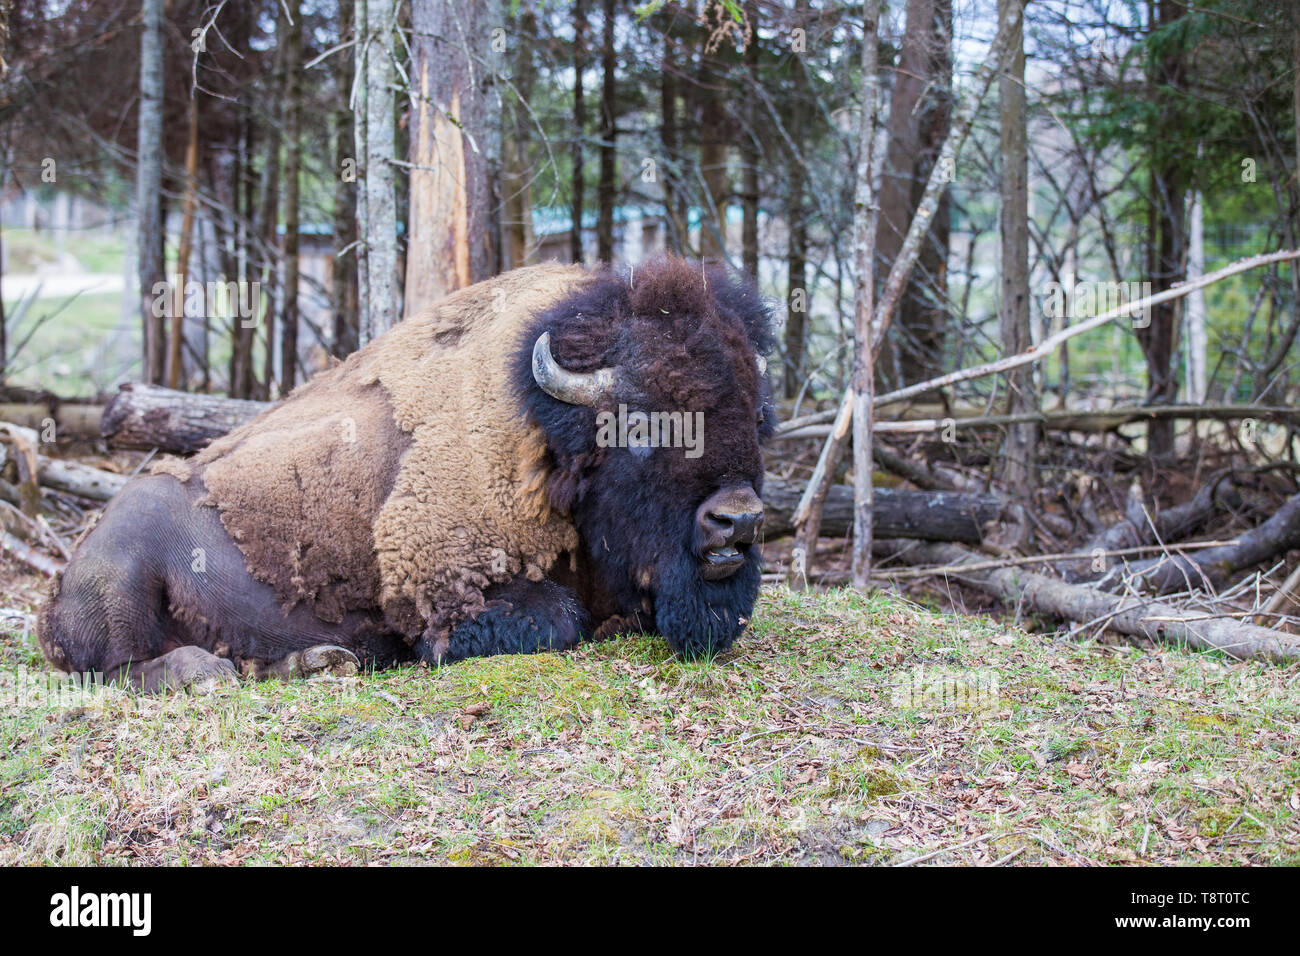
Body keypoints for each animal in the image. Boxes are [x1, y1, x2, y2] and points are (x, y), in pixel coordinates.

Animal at [38, 257, 774, 690]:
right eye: (641, 423)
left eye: (756, 414)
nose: (736, 518)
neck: (546, 439)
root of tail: (63, 577)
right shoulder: (446, 593)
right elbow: (554, 622)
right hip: (125, 577)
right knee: (120, 669)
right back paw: (211, 671)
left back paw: (316, 661)